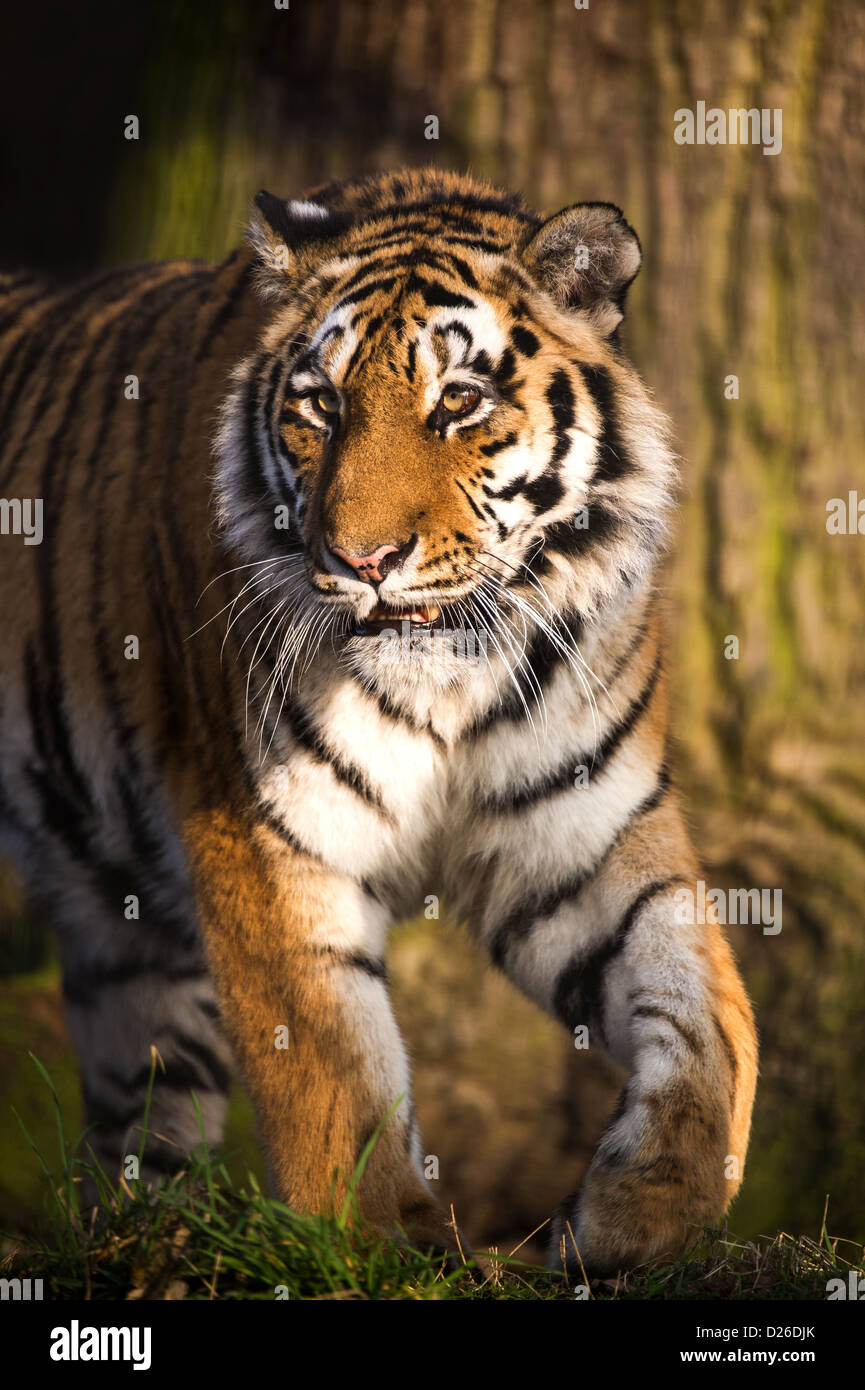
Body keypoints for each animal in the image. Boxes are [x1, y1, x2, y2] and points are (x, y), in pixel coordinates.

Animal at [0, 167, 757, 1276]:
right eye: (321, 404)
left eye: (460, 401)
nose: (363, 561)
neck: (455, 684)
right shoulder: (265, 834)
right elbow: (334, 1073)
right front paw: (380, 1248)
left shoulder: (584, 835)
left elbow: (712, 1017)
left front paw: (650, 1208)